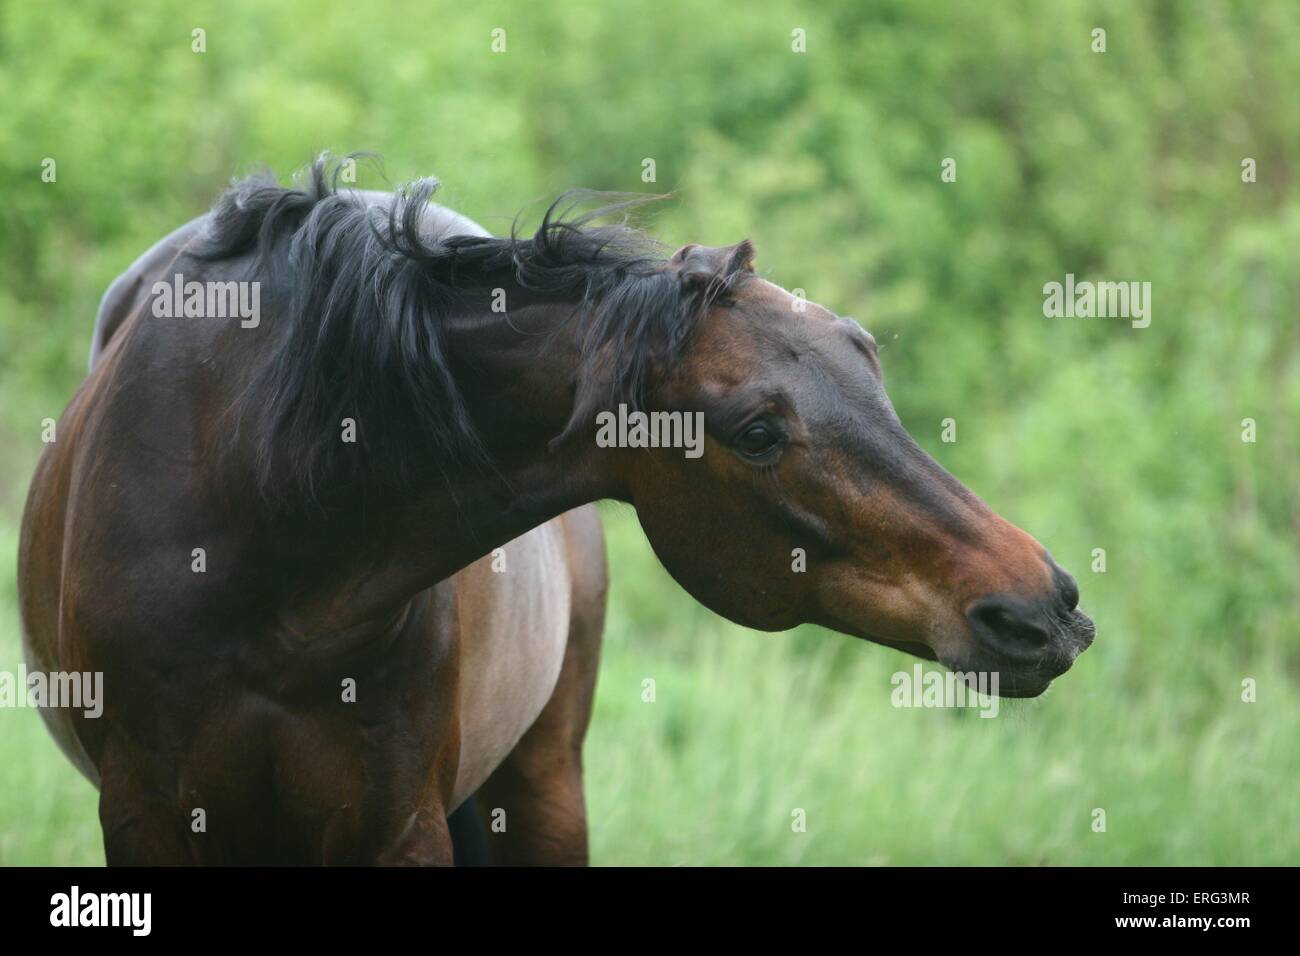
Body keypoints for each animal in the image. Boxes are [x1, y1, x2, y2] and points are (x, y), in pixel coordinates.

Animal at [18, 158, 1095, 865]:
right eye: (755, 431)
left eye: (866, 358)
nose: (1043, 607)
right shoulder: (151, 823)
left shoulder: (398, 825)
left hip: (542, 785)